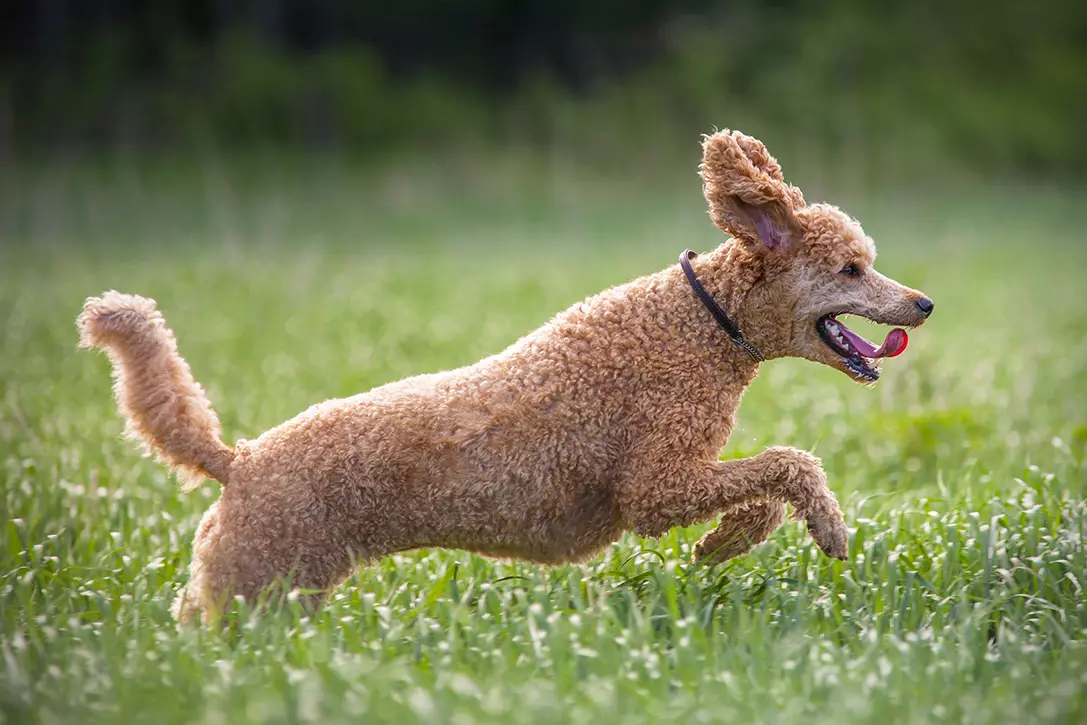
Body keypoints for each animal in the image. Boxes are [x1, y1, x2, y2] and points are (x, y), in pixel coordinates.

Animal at [78, 130, 934, 626]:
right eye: (850, 268)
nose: (922, 303)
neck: (701, 324)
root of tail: (239, 459)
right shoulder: (655, 486)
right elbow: (788, 465)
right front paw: (821, 527)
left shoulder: (676, 478)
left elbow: (762, 489)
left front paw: (723, 541)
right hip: (260, 588)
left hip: (257, 586)